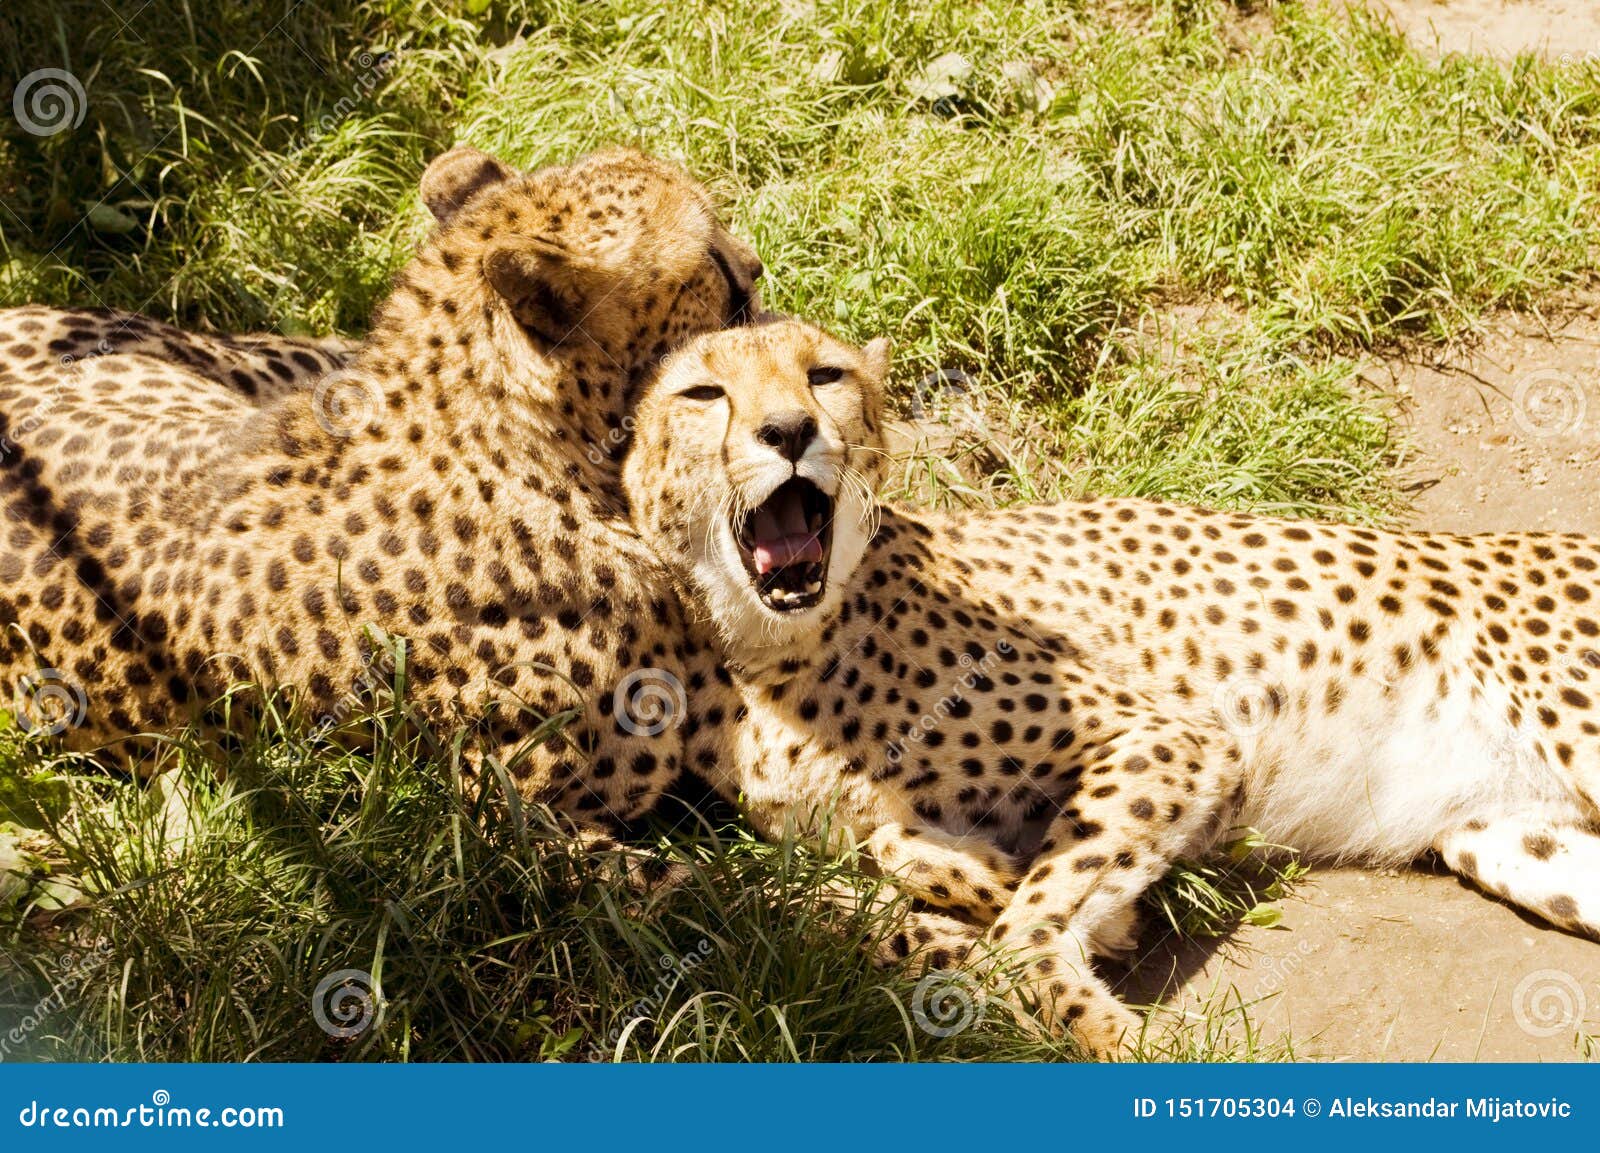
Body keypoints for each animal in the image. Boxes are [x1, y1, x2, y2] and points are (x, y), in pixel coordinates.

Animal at [622, 316, 1600, 1058]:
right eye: (704, 395)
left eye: (823, 375)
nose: (790, 431)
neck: (770, 644)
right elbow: (895, 849)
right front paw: (1016, 891)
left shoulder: (1175, 735)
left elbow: (1027, 921)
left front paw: (1105, 1018)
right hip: (1515, 839)